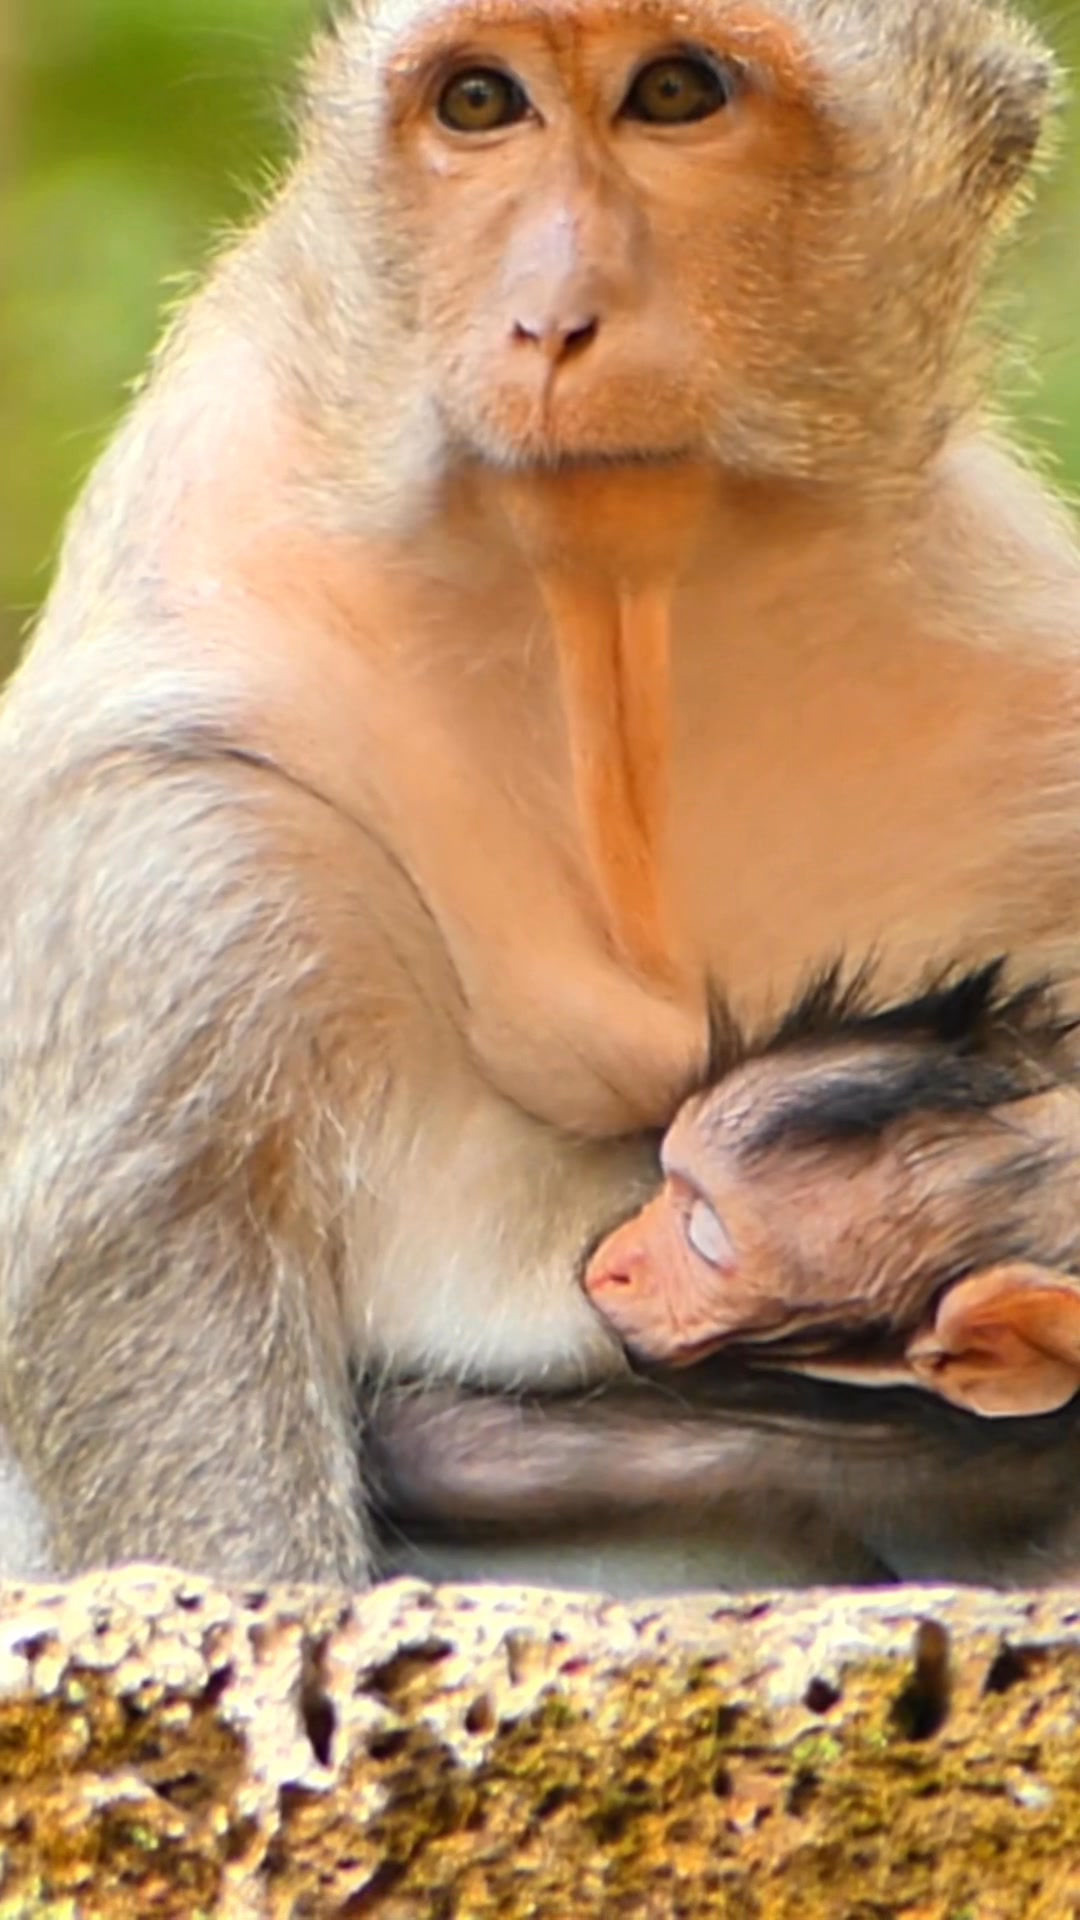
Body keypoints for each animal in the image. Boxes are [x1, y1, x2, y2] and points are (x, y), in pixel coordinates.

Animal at [3, 0, 1080, 1593]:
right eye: (480, 103)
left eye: (676, 93)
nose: (553, 319)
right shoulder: (201, 737)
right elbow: (142, 1249)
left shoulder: (1036, 729)